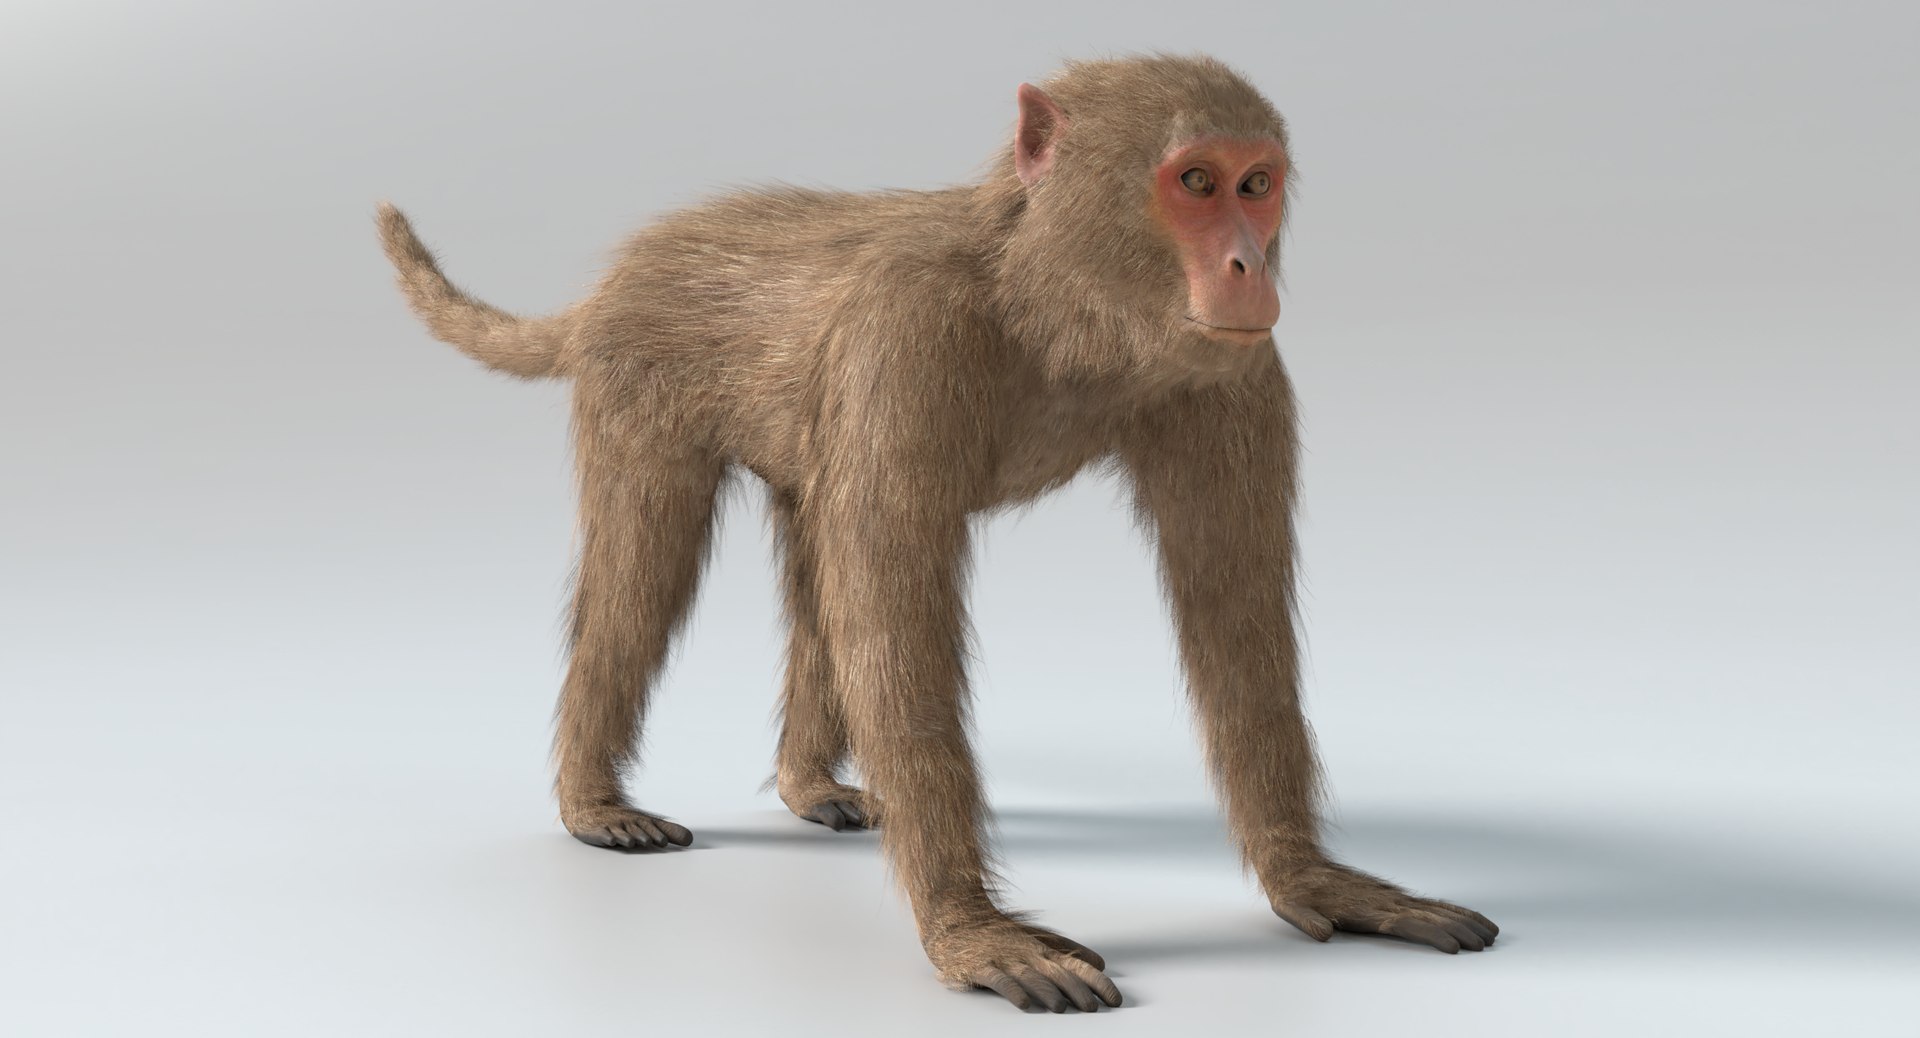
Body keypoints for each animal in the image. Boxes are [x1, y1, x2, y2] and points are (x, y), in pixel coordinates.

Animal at [377, 53, 1497, 1013]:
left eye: (1256, 184)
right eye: (1195, 180)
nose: (1245, 264)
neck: (1049, 299)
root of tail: (628, 268)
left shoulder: (1233, 372)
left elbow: (1235, 614)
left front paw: (1312, 877)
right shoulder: (907, 334)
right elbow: (894, 618)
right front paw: (970, 929)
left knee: (813, 567)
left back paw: (806, 785)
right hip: (637, 367)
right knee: (646, 575)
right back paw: (592, 802)